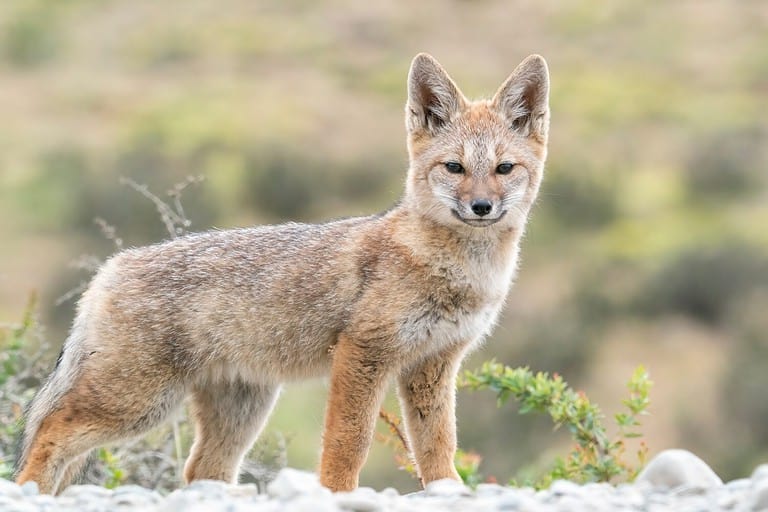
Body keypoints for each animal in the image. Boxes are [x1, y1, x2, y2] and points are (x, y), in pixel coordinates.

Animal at [15, 52, 550, 494]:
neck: (456, 271)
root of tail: (112, 265)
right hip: (138, 402)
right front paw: (337, 495)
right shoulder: (363, 354)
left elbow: (438, 446)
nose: (481, 207)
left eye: (504, 168)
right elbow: (348, 443)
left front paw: (448, 491)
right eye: (454, 168)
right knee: (50, 431)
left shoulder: (433, 365)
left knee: (199, 470)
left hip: (240, 411)